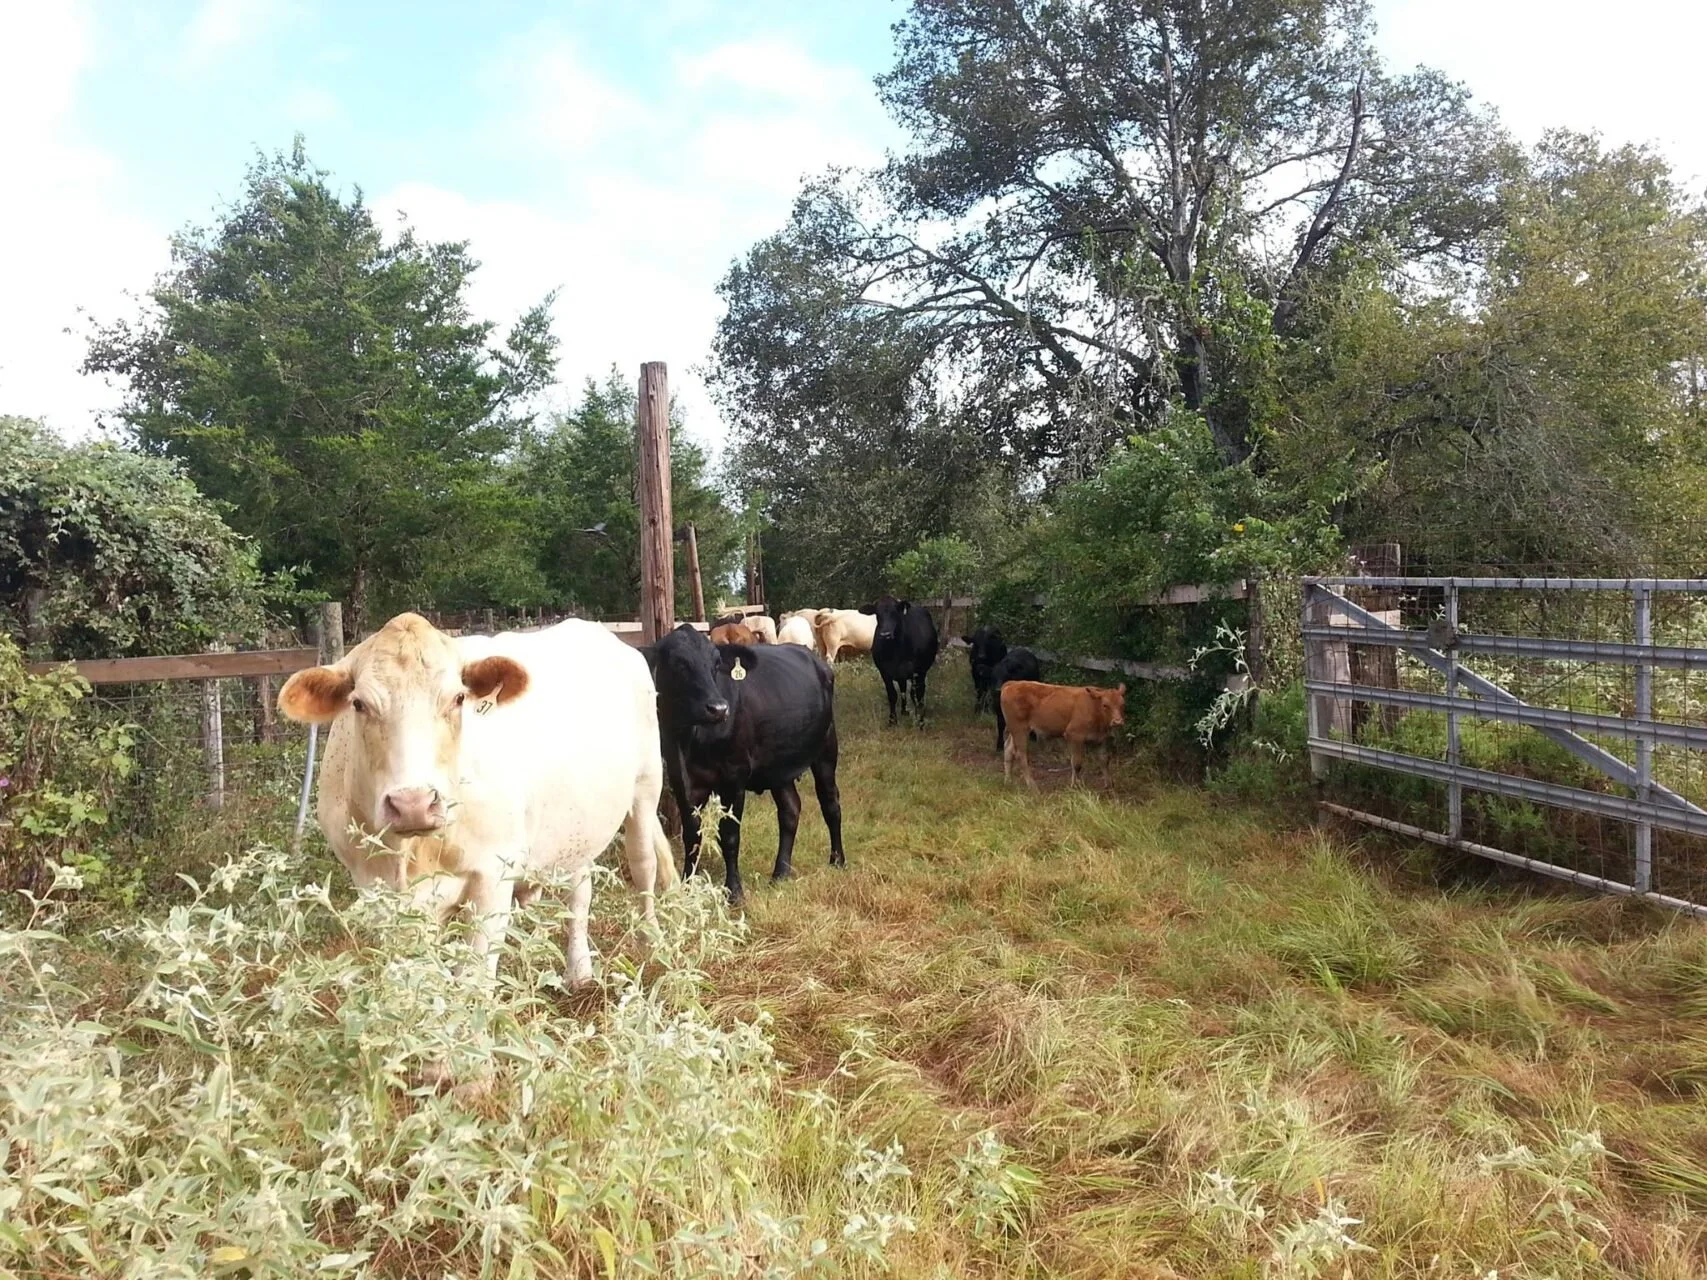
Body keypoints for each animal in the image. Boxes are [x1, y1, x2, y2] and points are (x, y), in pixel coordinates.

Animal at [277, 613, 677, 989]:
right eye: (358, 704)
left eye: (457, 699)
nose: (413, 803)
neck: (417, 851)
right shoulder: (376, 890)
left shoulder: (492, 878)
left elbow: (475, 979)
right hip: (578, 825)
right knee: (578, 889)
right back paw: (576, 971)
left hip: (645, 789)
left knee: (642, 867)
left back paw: (648, 943)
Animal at [645, 625, 844, 904]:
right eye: (679, 664)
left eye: (716, 663)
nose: (718, 708)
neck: (690, 738)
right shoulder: (681, 779)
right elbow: (692, 835)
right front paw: (687, 887)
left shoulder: (734, 778)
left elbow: (729, 835)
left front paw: (735, 892)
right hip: (778, 767)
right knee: (790, 810)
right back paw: (780, 873)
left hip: (826, 748)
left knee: (830, 802)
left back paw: (837, 860)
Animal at [862, 594, 939, 727]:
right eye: (877, 614)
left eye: (895, 612)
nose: (885, 634)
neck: (896, 650)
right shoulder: (884, 671)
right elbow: (892, 695)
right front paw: (892, 720)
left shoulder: (919, 671)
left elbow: (918, 694)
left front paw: (920, 721)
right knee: (903, 689)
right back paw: (904, 710)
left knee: (915, 692)